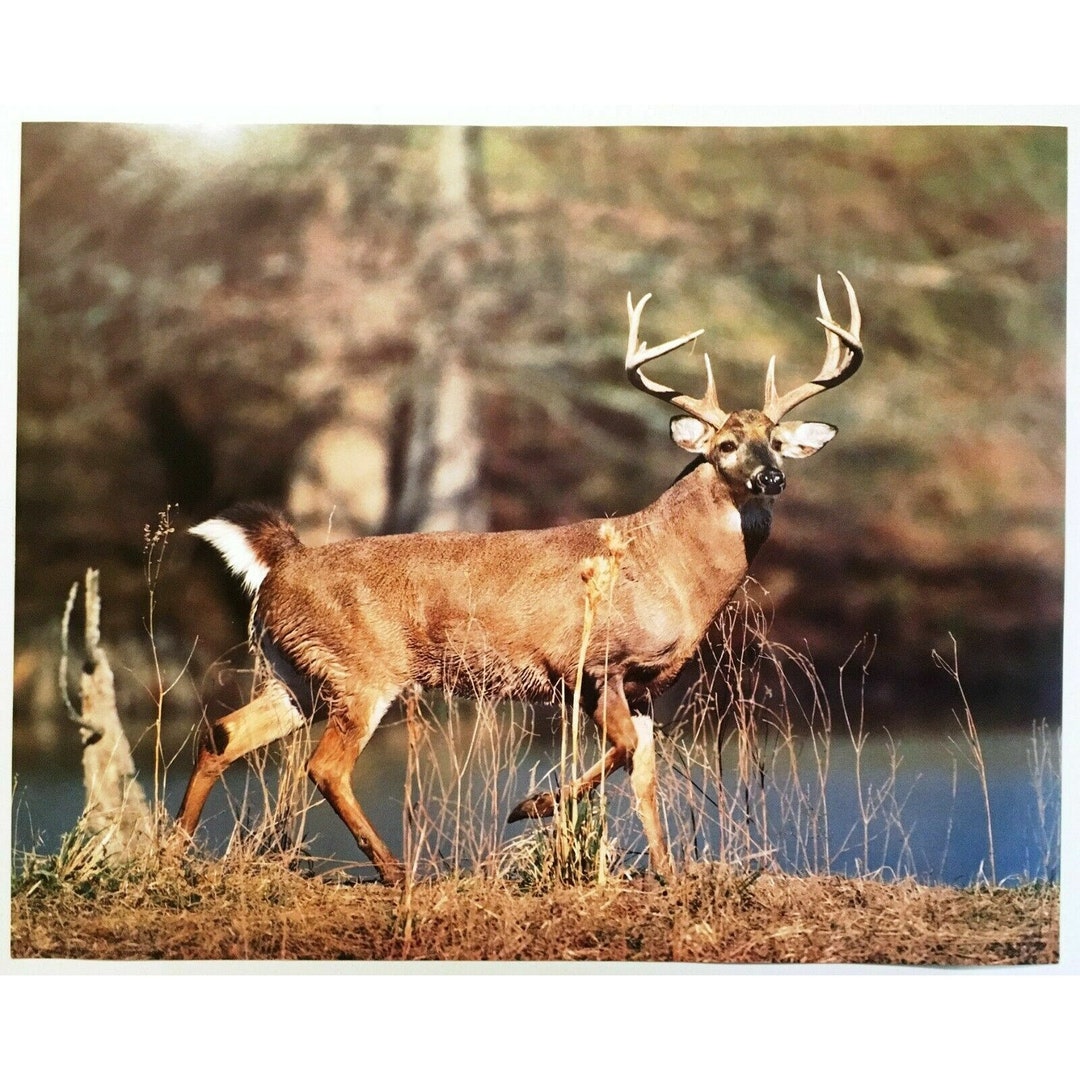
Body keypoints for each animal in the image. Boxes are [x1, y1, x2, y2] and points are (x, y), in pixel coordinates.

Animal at [178, 273, 863, 885]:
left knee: (224, 733)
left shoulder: (646, 686)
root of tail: (281, 563)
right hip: (362, 671)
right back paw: (398, 872)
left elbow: (645, 776)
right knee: (324, 766)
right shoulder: (592, 663)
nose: (772, 477)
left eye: (777, 442)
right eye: (724, 446)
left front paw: (668, 874)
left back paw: (178, 849)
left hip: (299, 672)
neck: (668, 568)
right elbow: (623, 754)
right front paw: (528, 807)